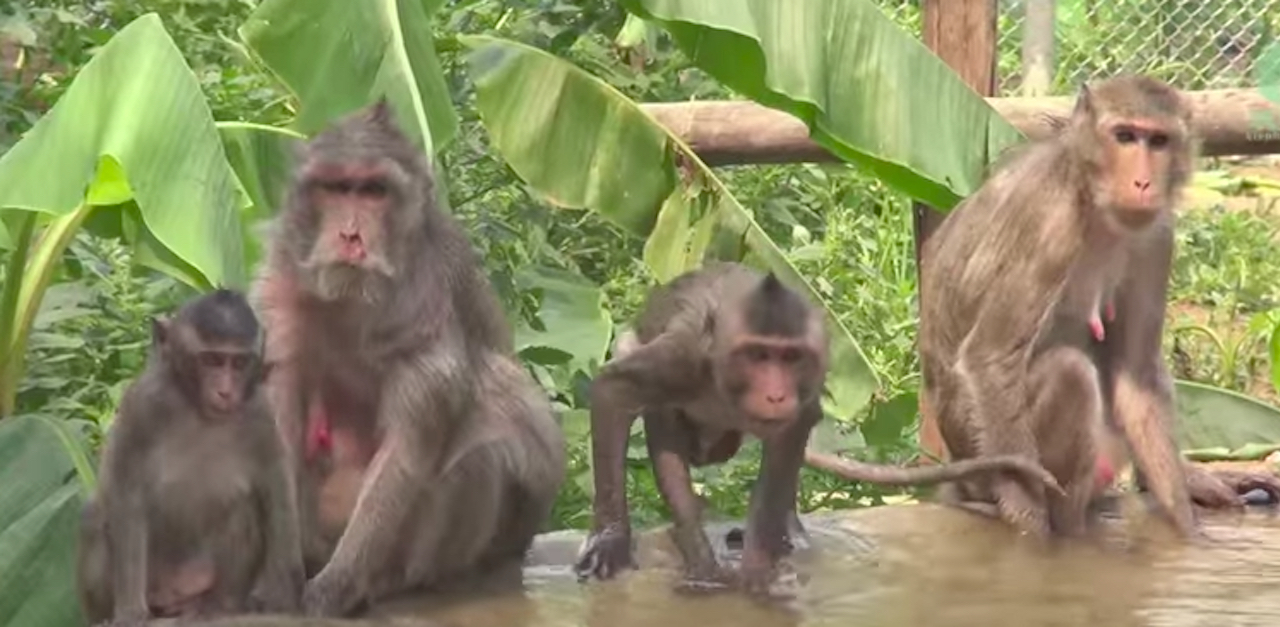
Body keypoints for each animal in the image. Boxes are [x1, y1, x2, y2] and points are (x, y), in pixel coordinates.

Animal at [76, 289, 304, 625]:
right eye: (211, 360)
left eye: (238, 363)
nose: (225, 392)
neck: (196, 406)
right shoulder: (144, 405)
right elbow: (128, 496)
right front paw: (130, 612)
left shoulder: (259, 414)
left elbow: (277, 496)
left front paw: (283, 598)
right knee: (94, 515)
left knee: (246, 507)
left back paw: (218, 606)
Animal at [252, 98, 566, 618]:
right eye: (336, 188)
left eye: (374, 191)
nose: (350, 236)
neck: (353, 300)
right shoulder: (279, 295)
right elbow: (275, 423)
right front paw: (276, 578)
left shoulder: (426, 310)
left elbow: (409, 447)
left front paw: (333, 588)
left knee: (488, 436)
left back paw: (389, 582)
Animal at [574, 262, 1062, 596]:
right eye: (757, 355)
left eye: (790, 357)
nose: (775, 395)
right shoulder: (678, 360)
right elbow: (614, 390)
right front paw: (616, 541)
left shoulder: (812, 374)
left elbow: (793, 433)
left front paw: (759, 573)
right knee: (669, 431)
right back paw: (695, 548)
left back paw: (786, 531)